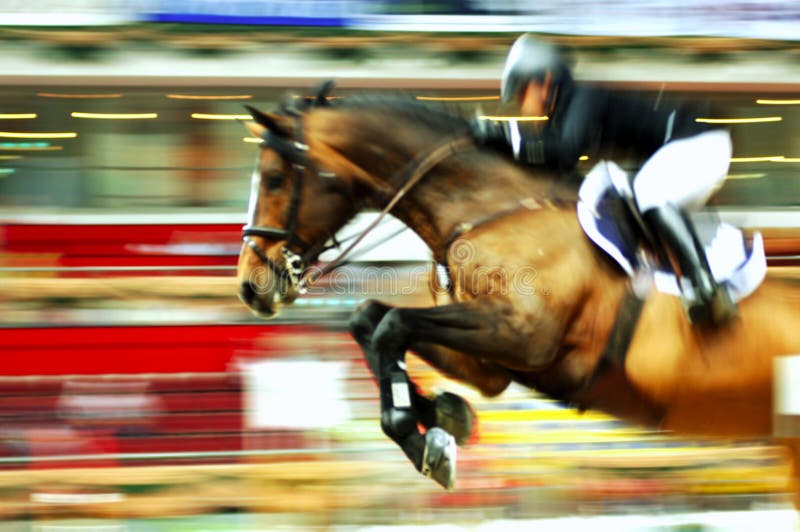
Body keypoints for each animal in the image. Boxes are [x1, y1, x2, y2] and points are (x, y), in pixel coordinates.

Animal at [235, 87, 800, 498]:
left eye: (275, 178)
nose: (249, 286)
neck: (485, 209)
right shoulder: (493, 364)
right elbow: (370, 320)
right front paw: (442, 417)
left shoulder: (524, 334)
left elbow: (391, 324)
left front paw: (425, 433)